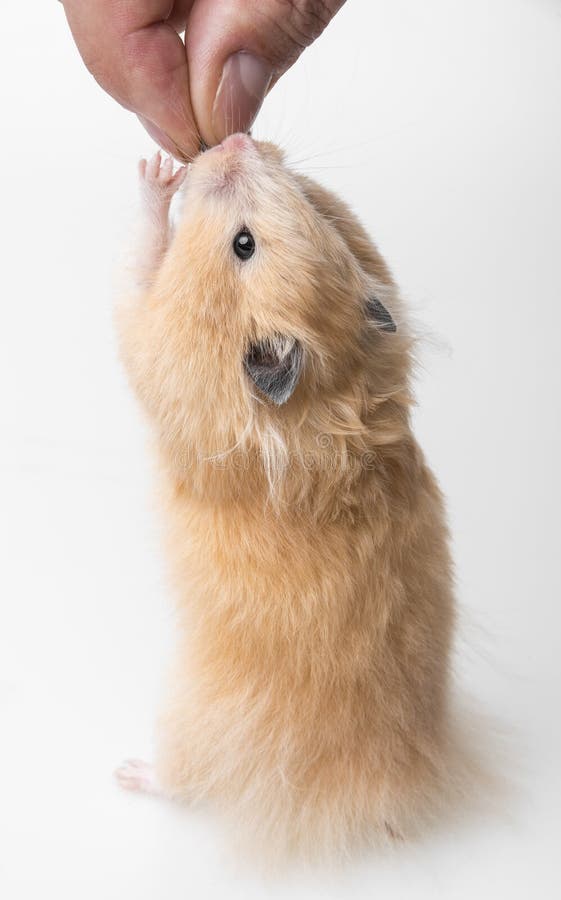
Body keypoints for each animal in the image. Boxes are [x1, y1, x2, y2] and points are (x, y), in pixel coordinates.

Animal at [115, 134, 462, 861]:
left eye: (243, 245)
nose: (234, 140)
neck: (332, 385)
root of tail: (384, 792)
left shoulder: (160, 357)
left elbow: (142, 270)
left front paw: (157, 174)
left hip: (191, 721)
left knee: (186, 782)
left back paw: (130, 771)